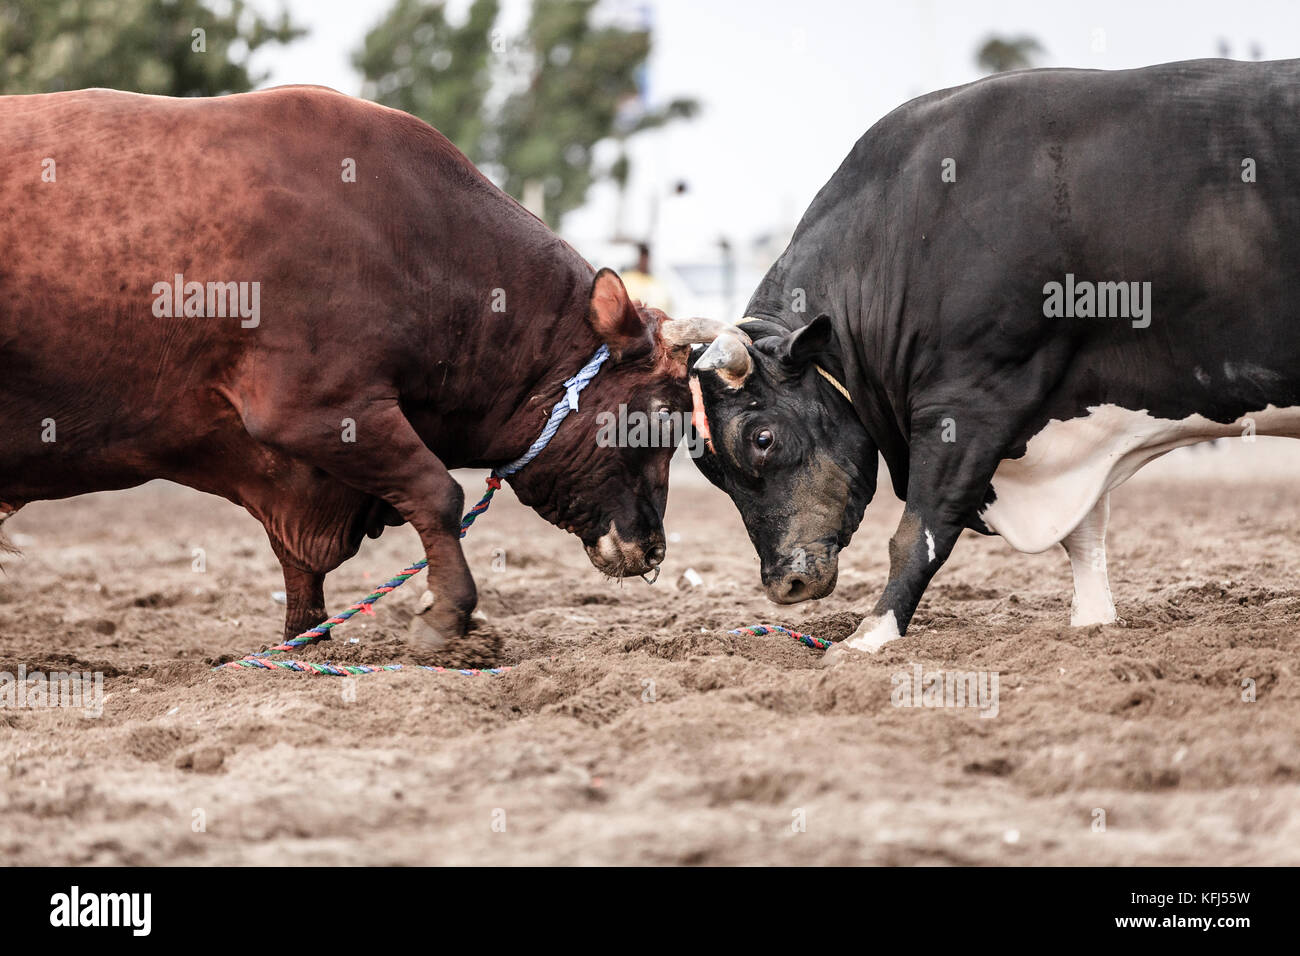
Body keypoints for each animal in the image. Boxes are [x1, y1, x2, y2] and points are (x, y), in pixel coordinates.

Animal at [0, 86, 728, 647]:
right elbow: (438, 493)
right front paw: (447, 617)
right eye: (659, 416)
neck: (414, 243)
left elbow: (303, 563)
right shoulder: (318, 410)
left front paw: (306, 639)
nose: (655, 549)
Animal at [687, 58, 1300, 661]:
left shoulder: (969, 401)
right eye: (709, 469)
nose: (783, 583)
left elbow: (920, 533)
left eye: (762, 438)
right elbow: (1085, 535)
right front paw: (1093, 622)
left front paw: (870, 637)